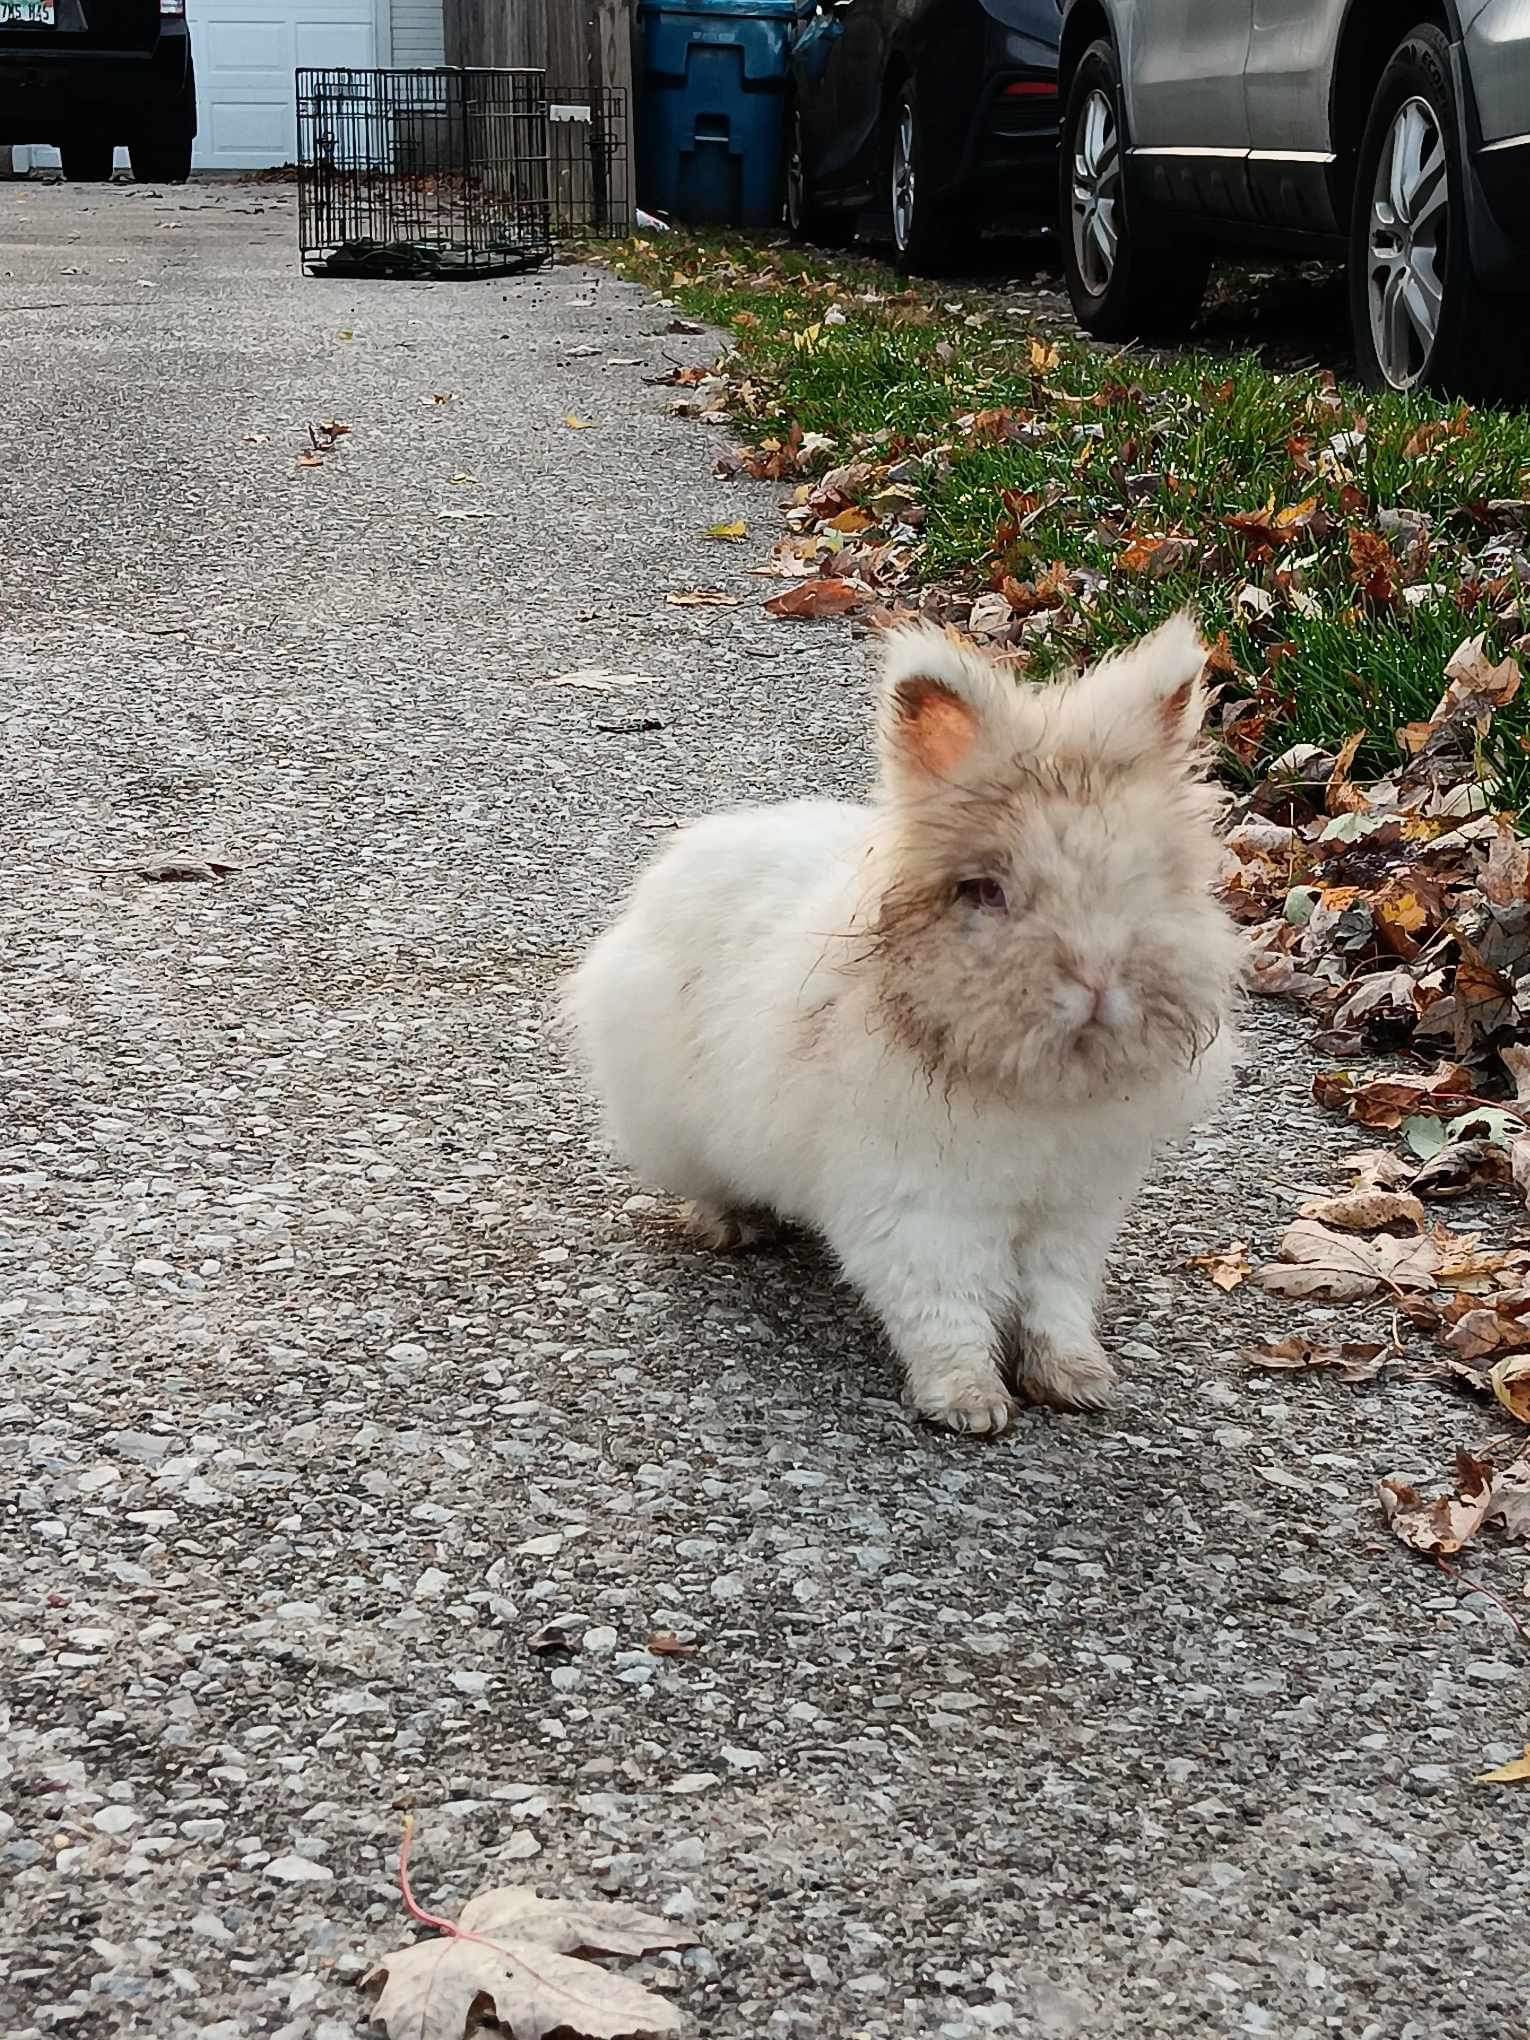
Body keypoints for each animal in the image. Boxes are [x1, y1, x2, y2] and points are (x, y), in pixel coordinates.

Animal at [567, 613, 1243, 1436]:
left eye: (1148, 880)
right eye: (985, 891)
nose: (1096, 978)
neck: (1034, 1086)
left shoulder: (1071, 1216)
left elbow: (1056, 1304)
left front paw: (1078, 1384)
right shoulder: (918, 1210)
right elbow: (943, 1308)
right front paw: (970, 1406)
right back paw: (737, 1227)